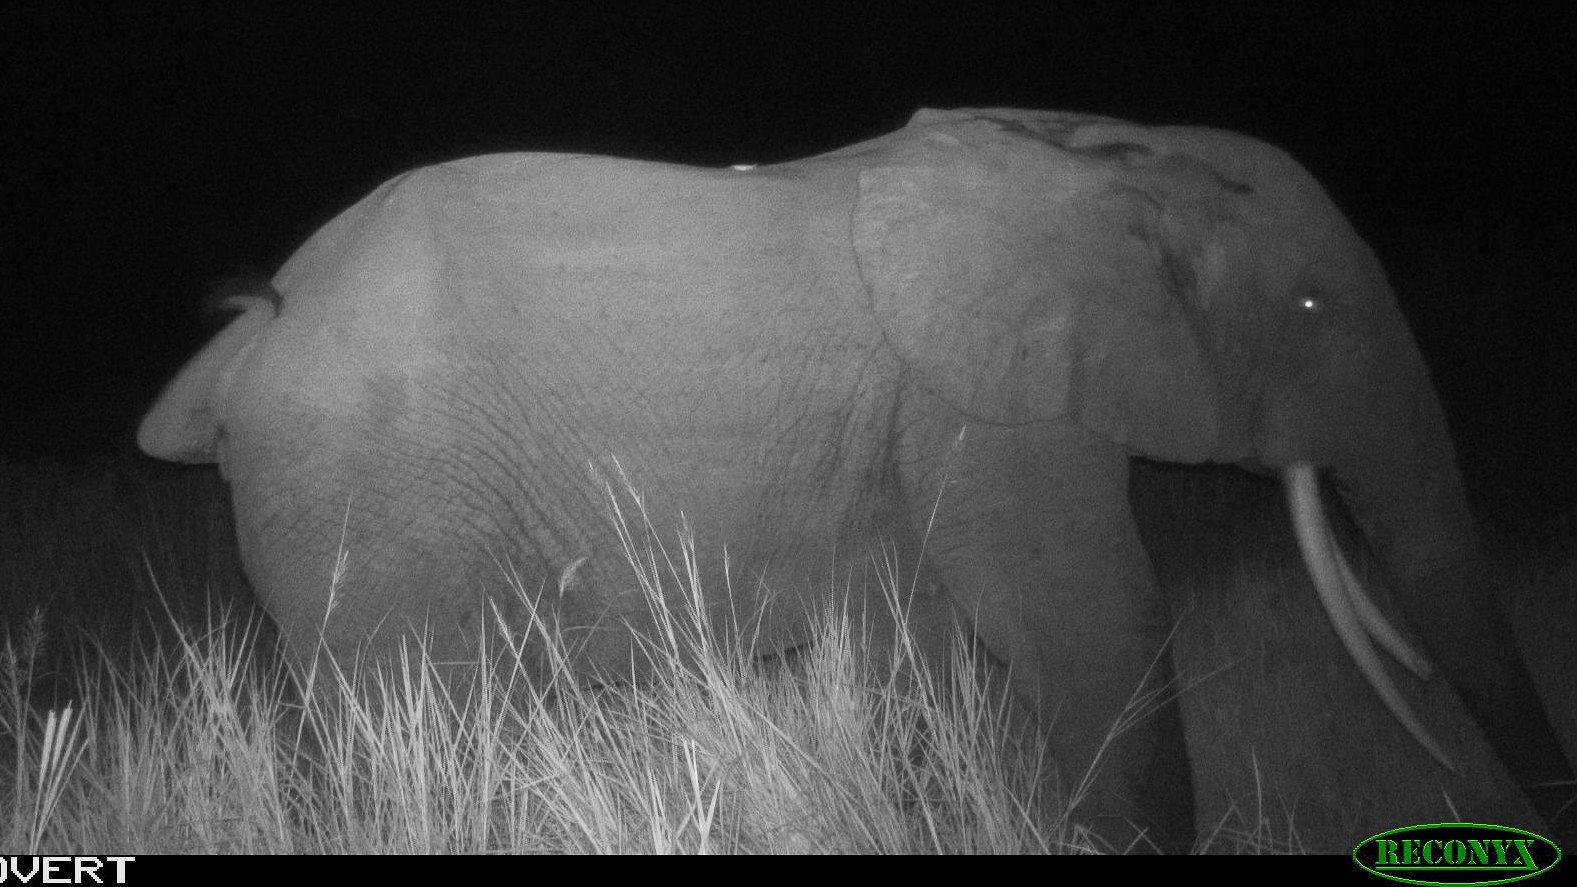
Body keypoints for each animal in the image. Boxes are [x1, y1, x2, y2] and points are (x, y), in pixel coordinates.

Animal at [138, 107, 1573, 850]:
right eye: (1315, 305)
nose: (1533, 819)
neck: (1104, 156)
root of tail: (247, 334)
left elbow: (923, 647)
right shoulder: (990, 410)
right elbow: (1093, 615)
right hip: (367, 500)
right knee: (415, 719)